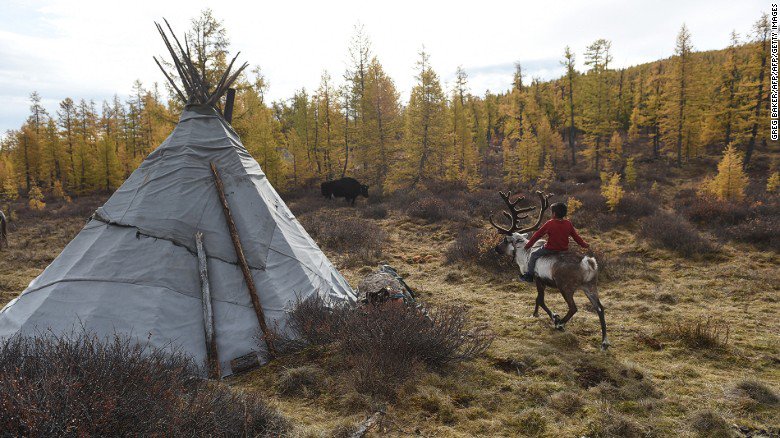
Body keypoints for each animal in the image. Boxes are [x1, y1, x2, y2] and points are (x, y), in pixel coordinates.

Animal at [490, 190, 609, 350]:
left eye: (504, 240)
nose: (496, 248)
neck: (524, 254)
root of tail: (588, 263)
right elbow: (537, 299)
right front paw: (536, 314)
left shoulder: (538, 279)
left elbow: (540, 299)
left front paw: (553, 316)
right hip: (590, 286)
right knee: (600, 308)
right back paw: (604, 342)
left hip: (566, 287)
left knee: (574, 308)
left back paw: (560, 324)